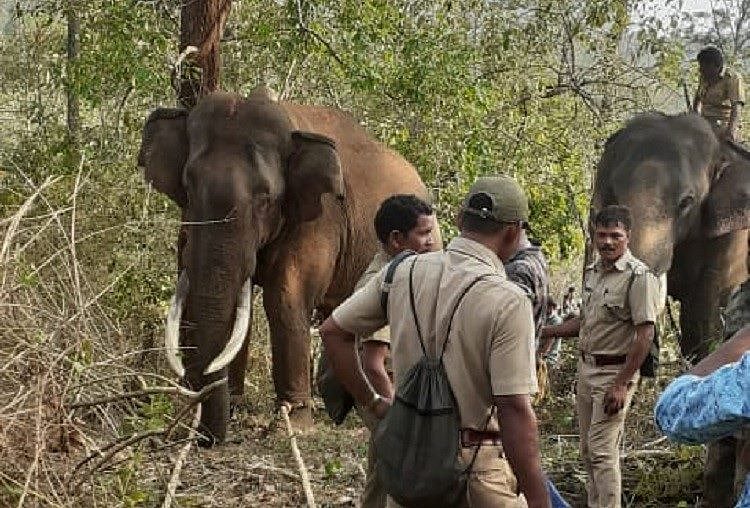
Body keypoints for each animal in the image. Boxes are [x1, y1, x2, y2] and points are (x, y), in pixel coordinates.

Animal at [137, 87, 436, 444]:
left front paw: (290, 424)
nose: (206, 439)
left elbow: (284, 299)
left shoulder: (319, 218)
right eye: (188, 185)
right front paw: (234, 406)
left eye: (265, 198)